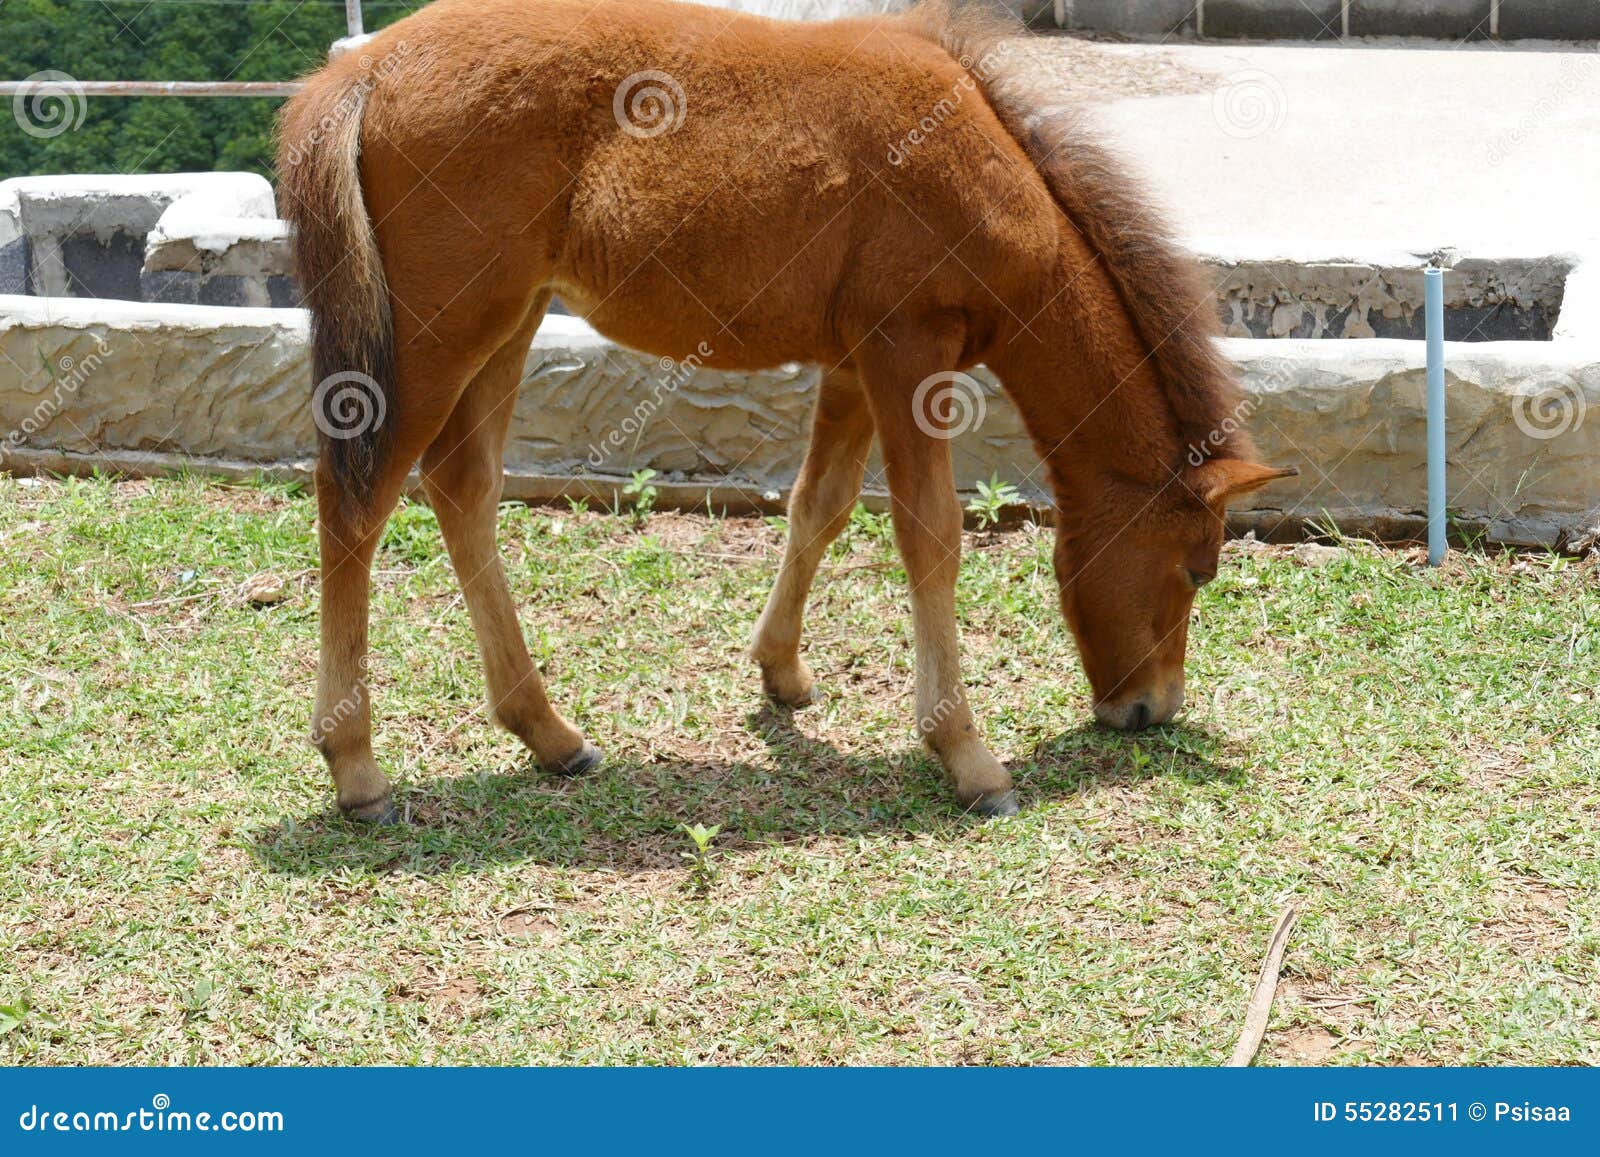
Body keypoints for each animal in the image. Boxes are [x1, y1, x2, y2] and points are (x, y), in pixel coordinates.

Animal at [277, 0, 1294, 823]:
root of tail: (359, 71)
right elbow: (931, 537)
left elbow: (820, 506)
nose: (1148, 709)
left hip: (510, 318)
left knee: (463, 487)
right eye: (1196, 570)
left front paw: (782, 672)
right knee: (356, 503)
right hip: (440, 331)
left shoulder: (852, 363)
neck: (975, 155)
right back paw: (357, 769)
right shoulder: (908, 351)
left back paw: (549, 733)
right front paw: (968, 757)